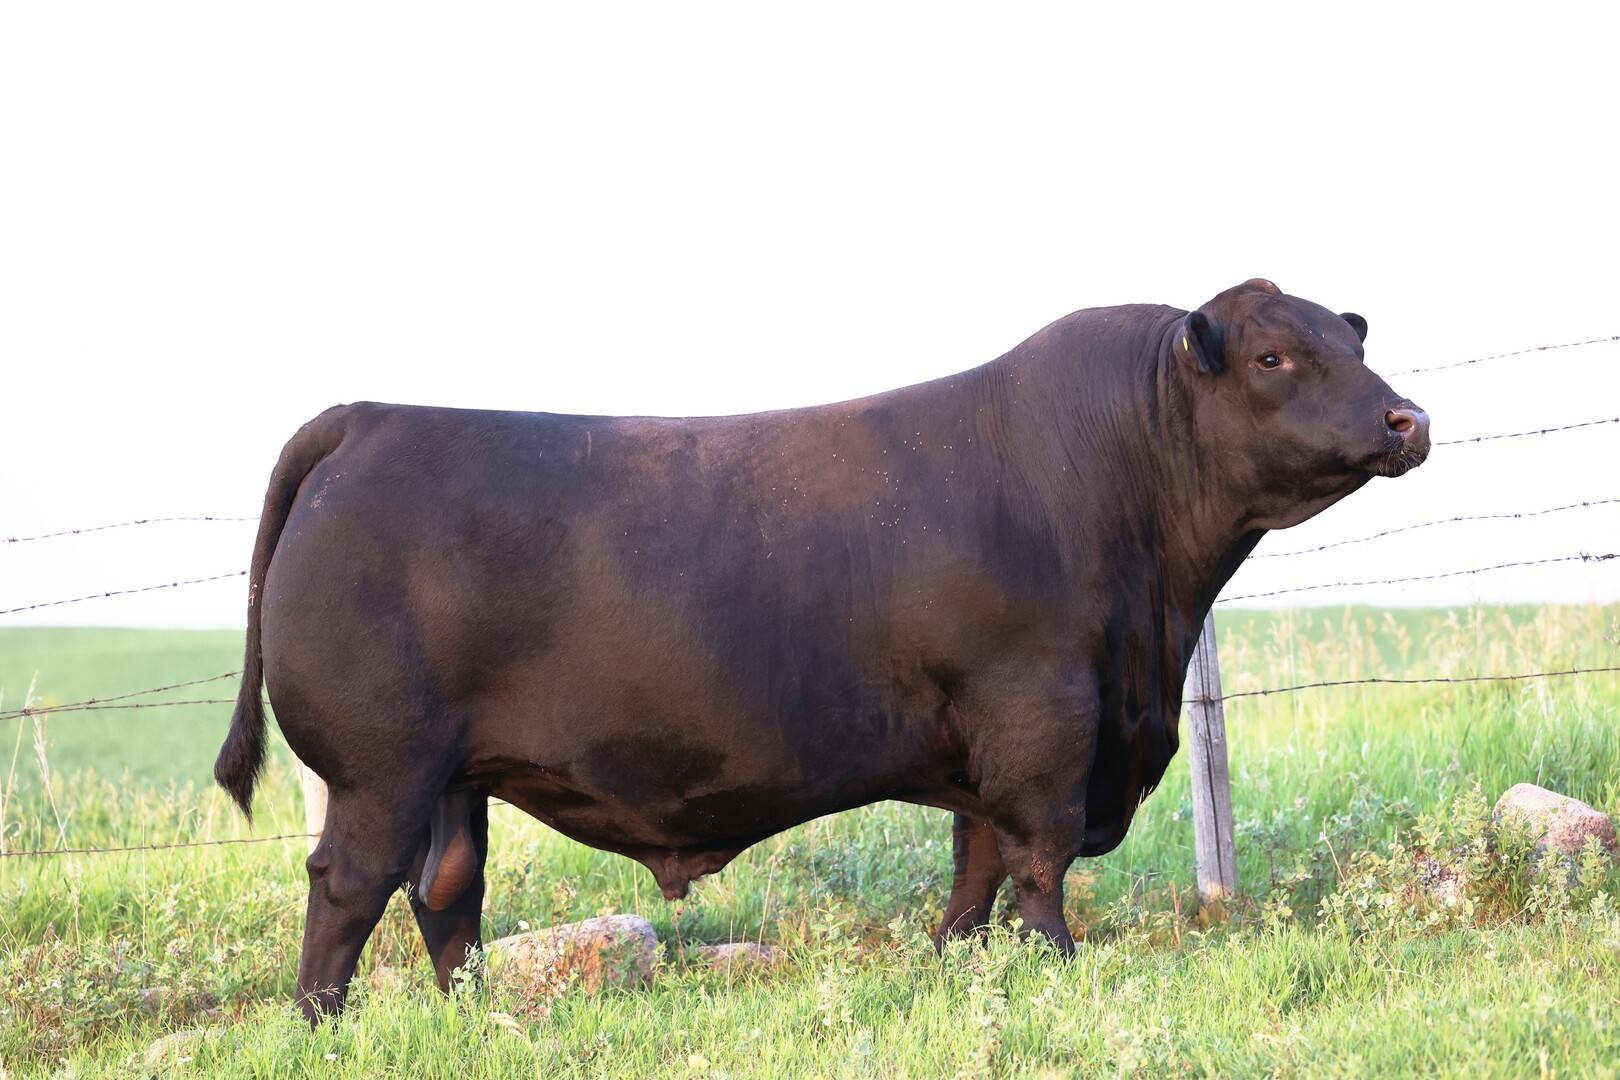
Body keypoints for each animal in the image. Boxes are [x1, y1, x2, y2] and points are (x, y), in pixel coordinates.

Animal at [215, 278, 1429, 1019]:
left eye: (1349, 341)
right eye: (1273, 355)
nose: (1407, 420)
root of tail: (370, 416)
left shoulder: (982, 737)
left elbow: (975, 866)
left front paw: (953, 964)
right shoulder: (1042, 712)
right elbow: (1035, 859)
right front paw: (1055, 968)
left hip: (454, 774)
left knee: (446, 890)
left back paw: (477, 1016)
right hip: (381, 767)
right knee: (349, 886)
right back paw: (324, 1025)